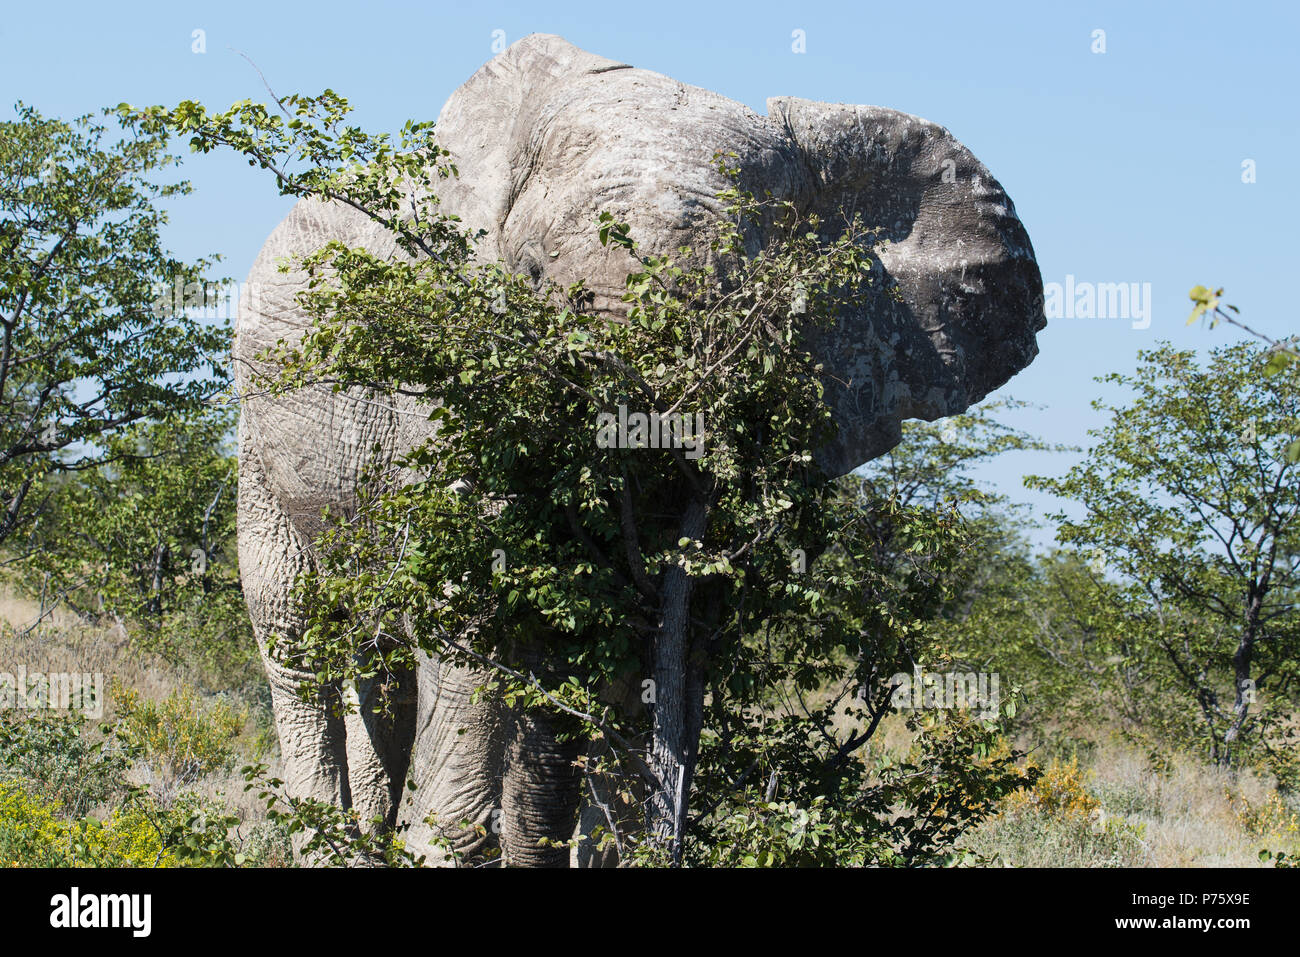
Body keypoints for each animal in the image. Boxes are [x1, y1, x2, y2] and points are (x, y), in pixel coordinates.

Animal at [234, 33, 1045, 866]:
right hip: (255, 437)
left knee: (392, 665)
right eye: (529, 280)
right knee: (294, 630)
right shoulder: (443, 378)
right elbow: (476, 609)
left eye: (748, 306)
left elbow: (643, 644)